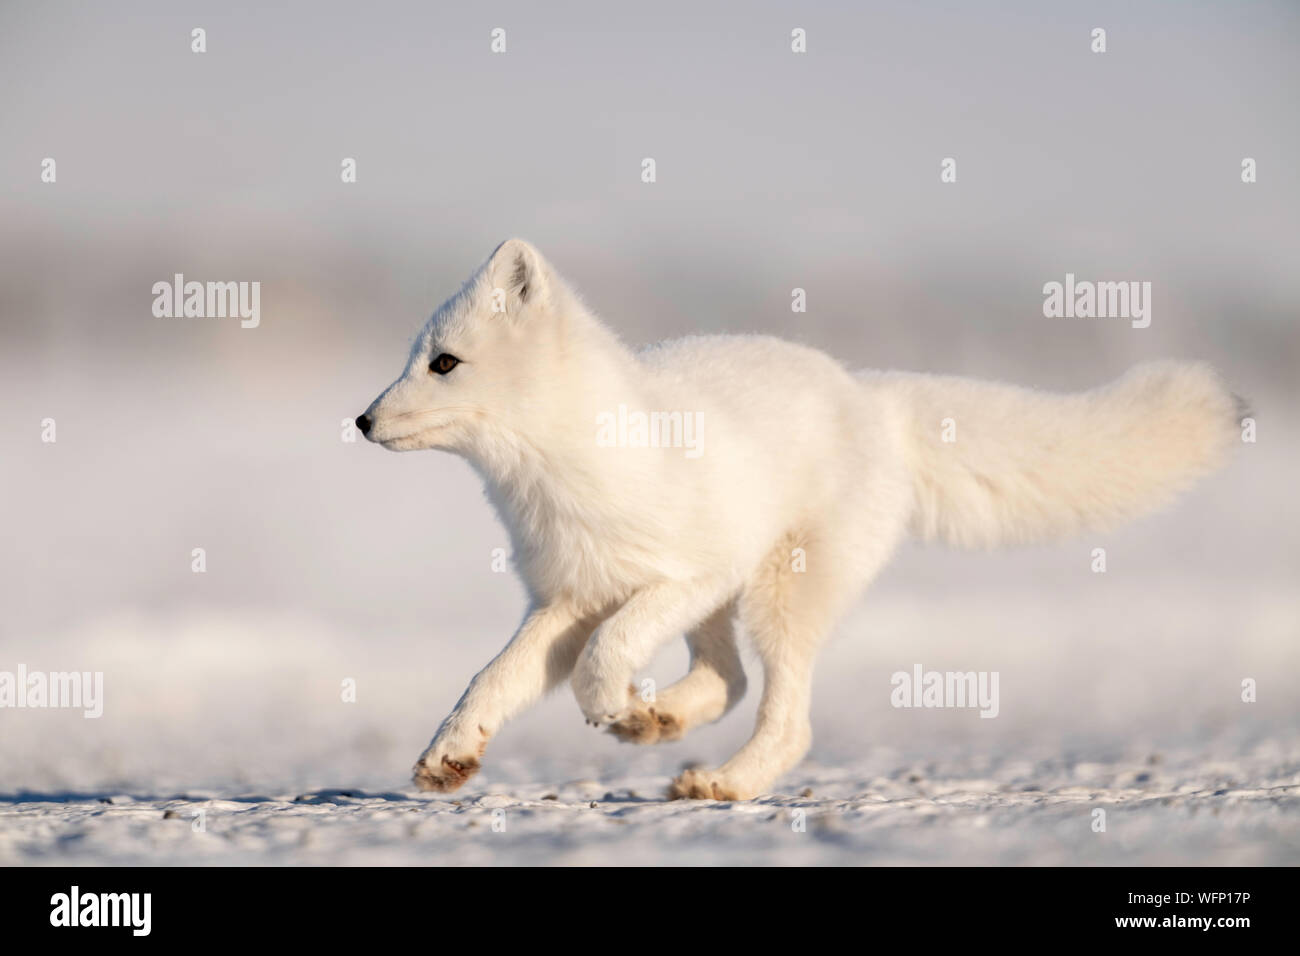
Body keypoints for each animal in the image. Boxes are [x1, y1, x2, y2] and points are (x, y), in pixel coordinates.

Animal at [357, 238, 1243, 801]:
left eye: (444, 363)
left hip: (776, 593)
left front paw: (616, 704)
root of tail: (873, 394)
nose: (362, 421)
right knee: (729, 682)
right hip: (735, 604)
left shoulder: (685, 572)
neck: (560, 479)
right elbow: (494, 679)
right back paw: (666, 721)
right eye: (412, 358)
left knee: (787, 721)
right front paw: (451, 755)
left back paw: (721, 780)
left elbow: (604, 657)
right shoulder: (566, 598)